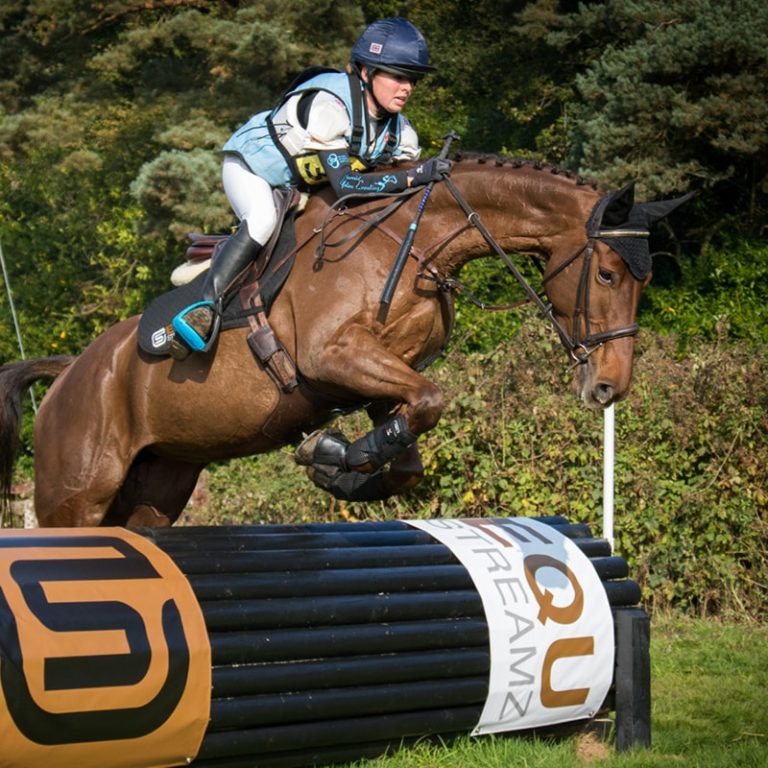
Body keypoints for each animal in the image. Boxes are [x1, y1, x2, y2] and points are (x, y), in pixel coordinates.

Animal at [0, 154, 688, 528]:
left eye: (646, 281)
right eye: (607, 274)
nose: (610, 385)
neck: (415, 240)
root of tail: (69, 374)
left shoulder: (383, 373)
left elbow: (411, 441)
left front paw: (336, 464)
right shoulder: (332, 355)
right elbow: (430, 402)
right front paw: (328, 452)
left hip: (160, 482)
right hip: (75, 493)